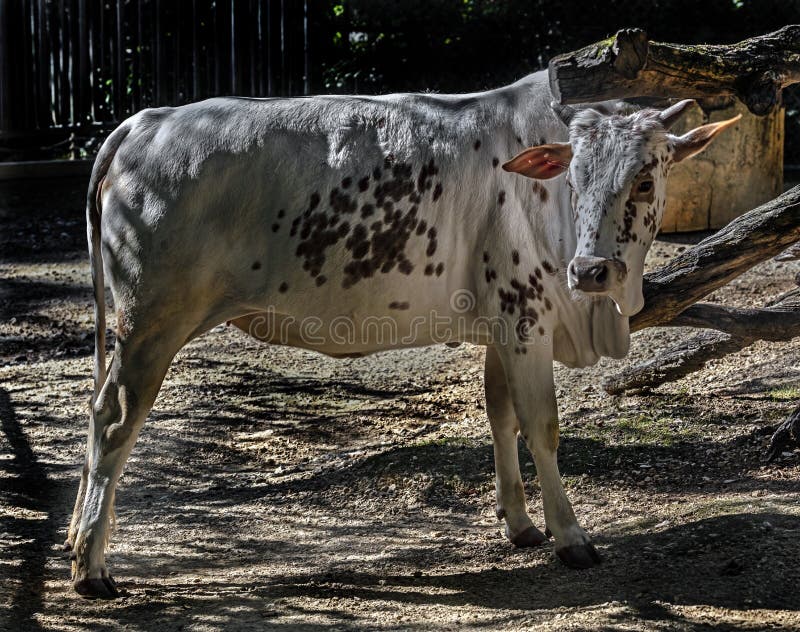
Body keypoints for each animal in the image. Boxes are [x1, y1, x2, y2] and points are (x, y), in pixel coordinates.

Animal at [65, 69, 739, 598]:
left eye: (646, 180)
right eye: (572, 180)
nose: (590, 270)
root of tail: (146, 121)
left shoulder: (499, 324)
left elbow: (501, 415)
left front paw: (519, 524)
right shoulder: (525, 317)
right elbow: (542, 425)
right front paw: (570, 536)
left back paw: (80, 539)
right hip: (151, 322)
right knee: (113, 420)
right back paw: (91, 567)